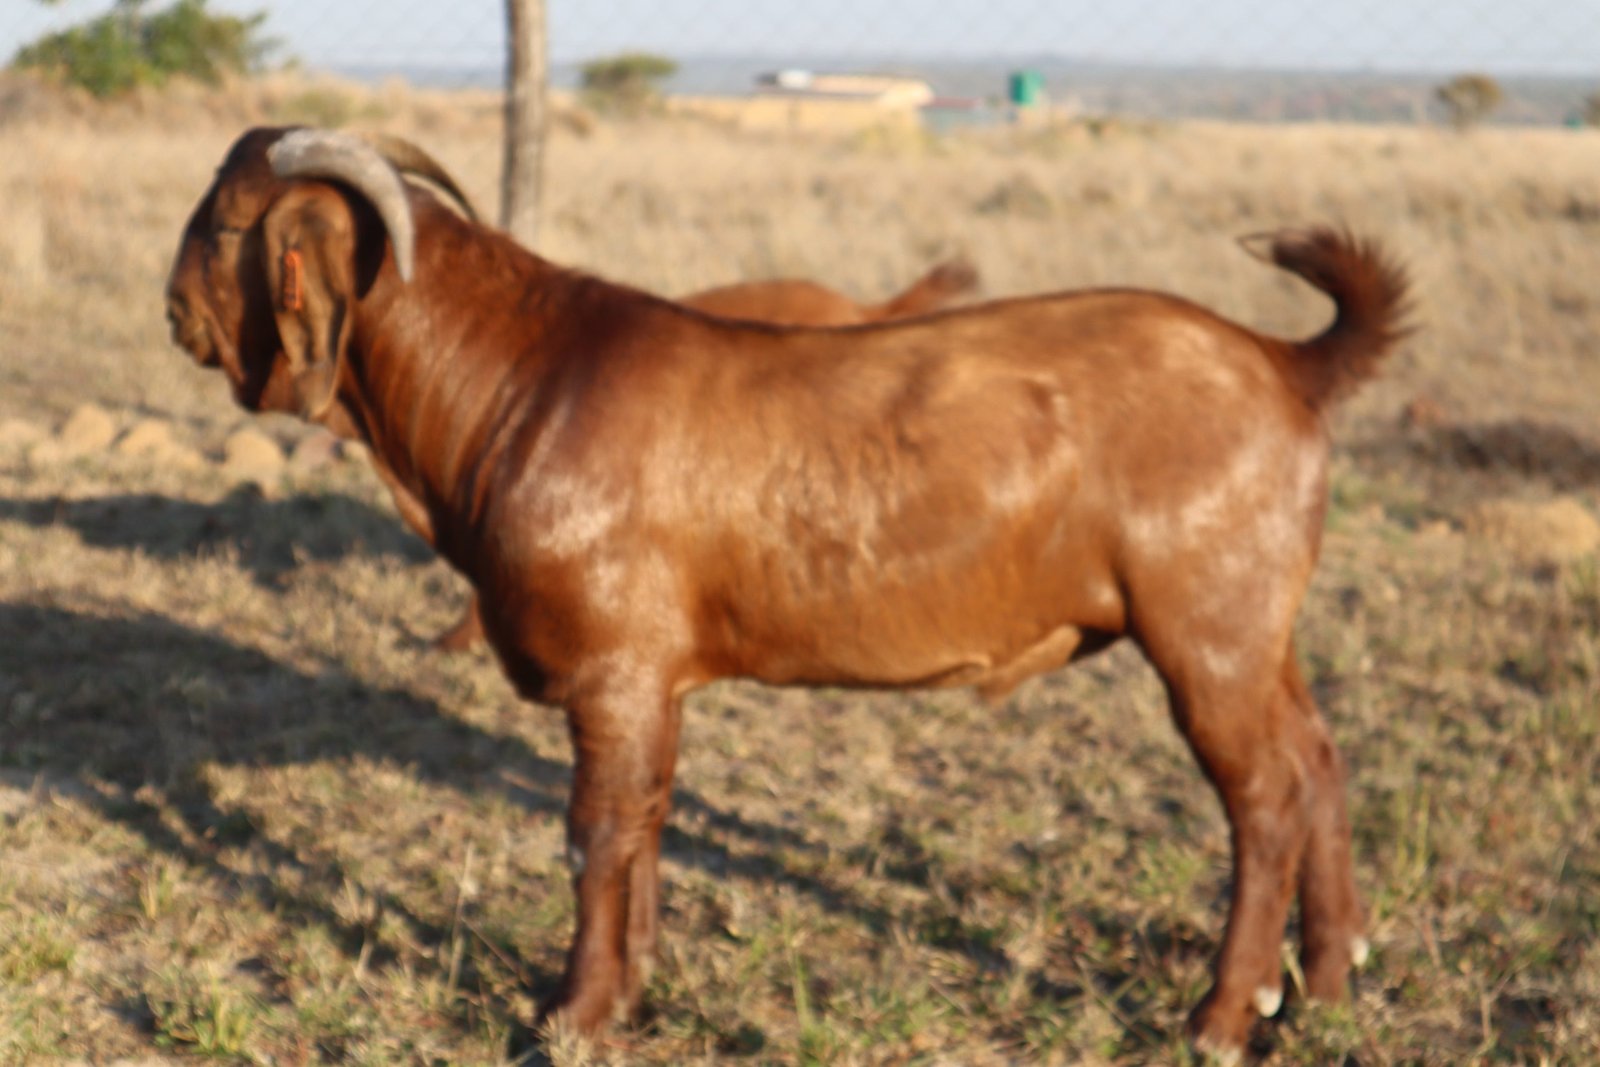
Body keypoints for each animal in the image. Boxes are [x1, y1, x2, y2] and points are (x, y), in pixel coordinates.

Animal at [165, 126, 1409, 1059]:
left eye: (224, 224)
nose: (173, 310)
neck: (519, 376)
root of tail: (1281, 360)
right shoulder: (654, 681)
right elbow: (647, 816)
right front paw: (631, 989)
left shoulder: (615, 668)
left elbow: (595, 829)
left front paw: (569, 1014)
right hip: (1257, 622)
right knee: (1317, 756)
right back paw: (1328, 979)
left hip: (1205, 626)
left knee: (1263, 794)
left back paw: (1221, 1014)